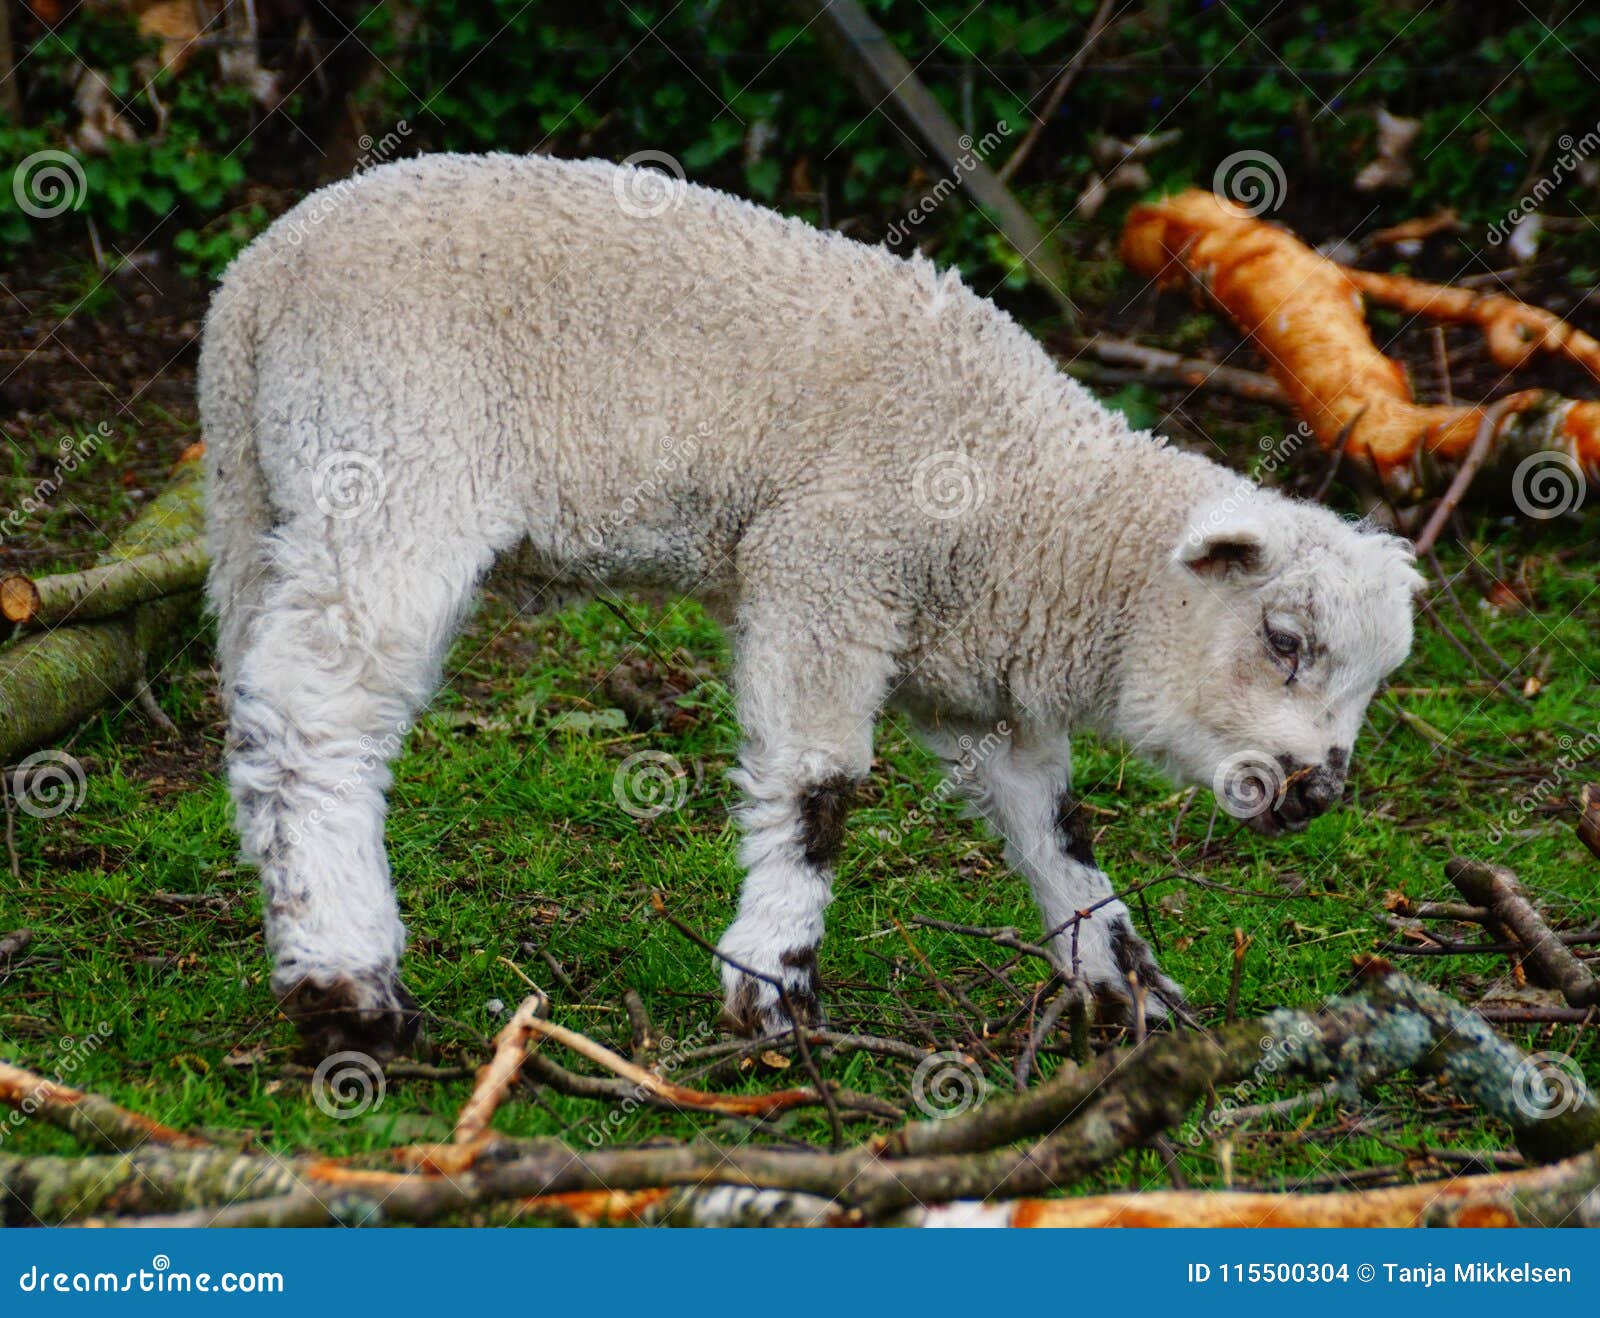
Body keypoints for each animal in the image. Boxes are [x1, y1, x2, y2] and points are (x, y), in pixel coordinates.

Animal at [199, 152, 1421, 1058]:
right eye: (1284, 640)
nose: (1317, 791)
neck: (1032, 511)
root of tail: (254, 286)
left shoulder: (958, 657)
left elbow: (1050, 819)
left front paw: (1123, 980)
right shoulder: (829, 564)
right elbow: (819, 788)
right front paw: (773, 985)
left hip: (273, 497)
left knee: (261, 706)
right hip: (390, 457)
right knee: (318, 713)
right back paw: (348, 984)